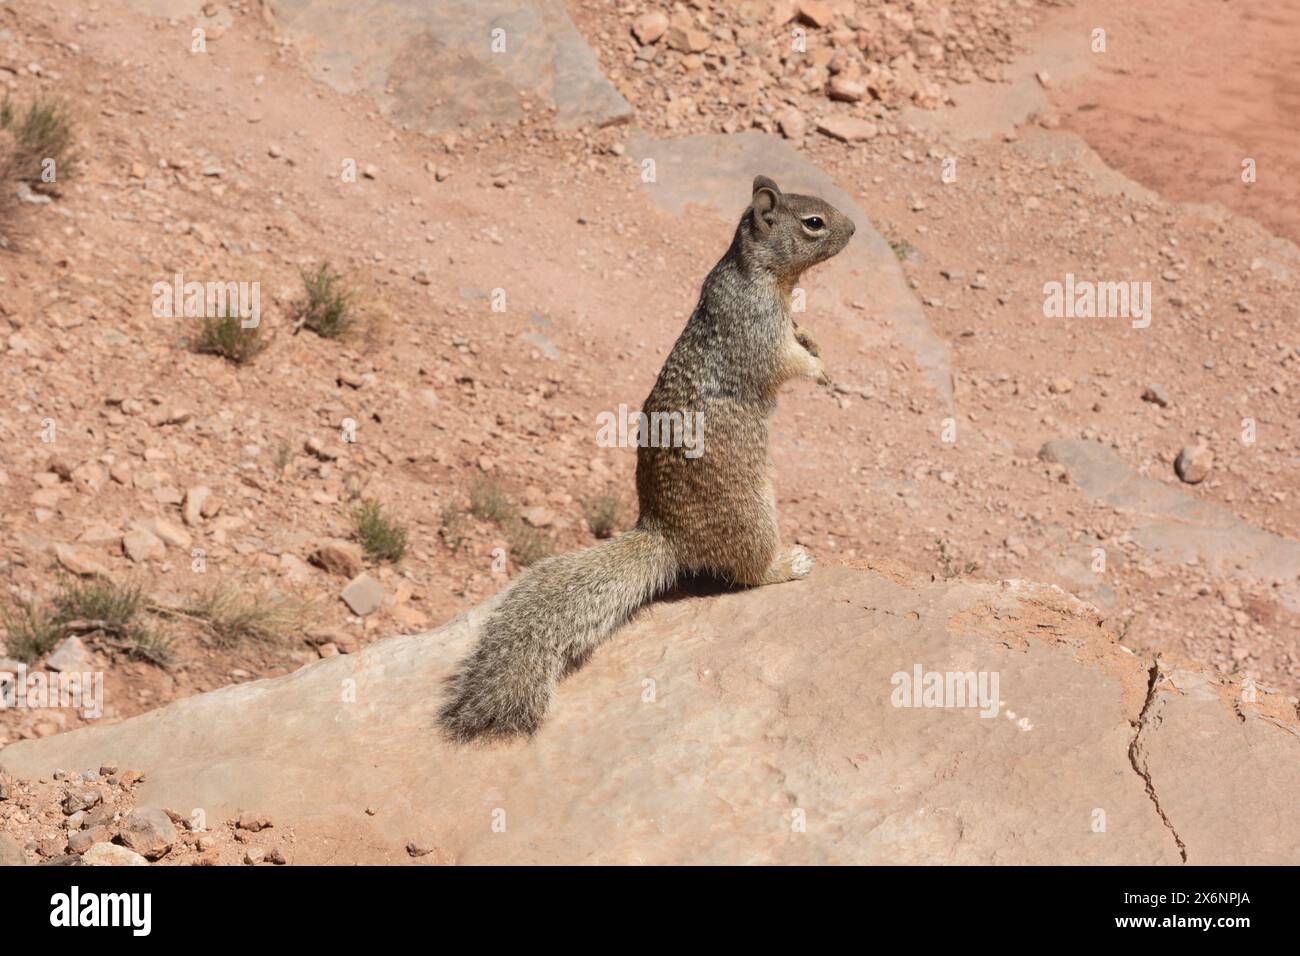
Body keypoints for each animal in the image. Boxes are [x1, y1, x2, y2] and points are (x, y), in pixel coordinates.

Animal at [439, 175, 857, 742]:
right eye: (814, 222)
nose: (853, 228)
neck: (764, 277)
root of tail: (664, 532)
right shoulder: (757, 329)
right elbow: (786, 360)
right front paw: (819, 370)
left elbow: (802, 334)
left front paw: (818, 344)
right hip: (755, 515)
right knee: (747, 572)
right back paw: (788, 564)